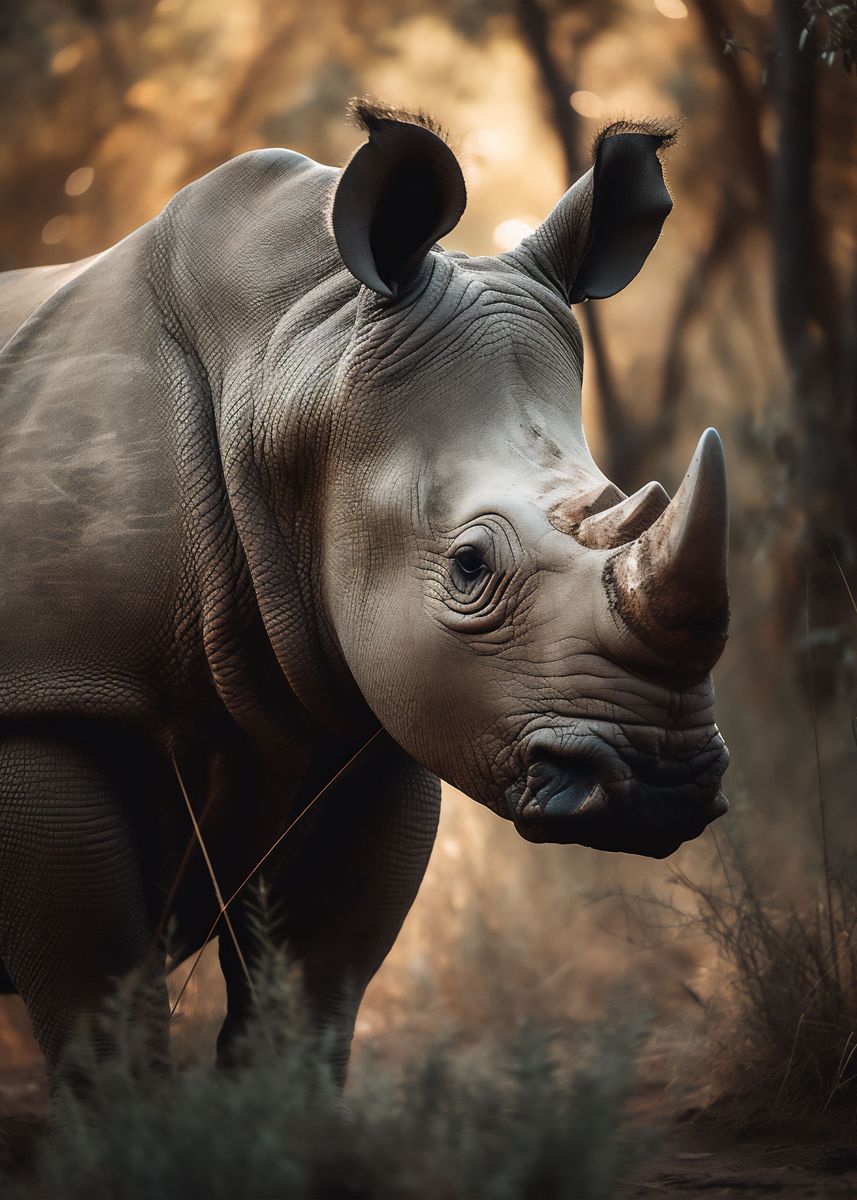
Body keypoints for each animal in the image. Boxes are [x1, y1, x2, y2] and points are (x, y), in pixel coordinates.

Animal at [0, 100, 729, 1082]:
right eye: (468, 567)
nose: (662, 782)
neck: (292, 365)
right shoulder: (46, 695)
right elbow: (102, 1021)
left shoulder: (370, 712)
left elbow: (308, 1000)